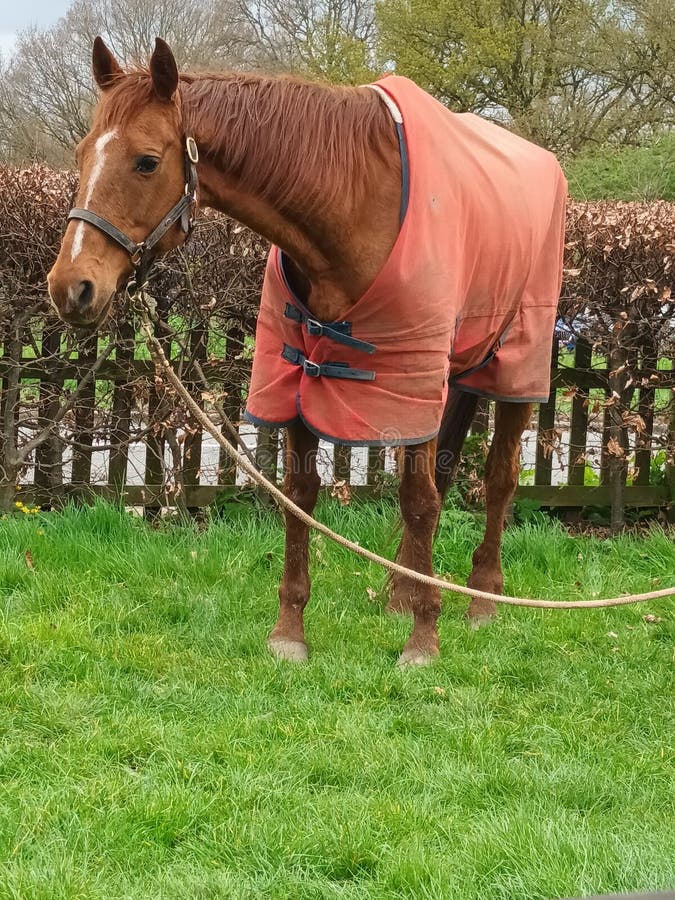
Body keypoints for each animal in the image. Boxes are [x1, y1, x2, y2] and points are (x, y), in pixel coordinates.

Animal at [48, 37, 567, 667]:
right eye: (81, 155)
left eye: (146, 161)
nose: (71, 287)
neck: (351, 207)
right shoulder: (296, 380)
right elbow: (300, 495)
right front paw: (290, 632)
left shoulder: (410, 382)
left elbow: (419, 501)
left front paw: (423, 640)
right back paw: (401, 590)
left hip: (513, 369)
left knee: (498, 476)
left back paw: (482, 597)